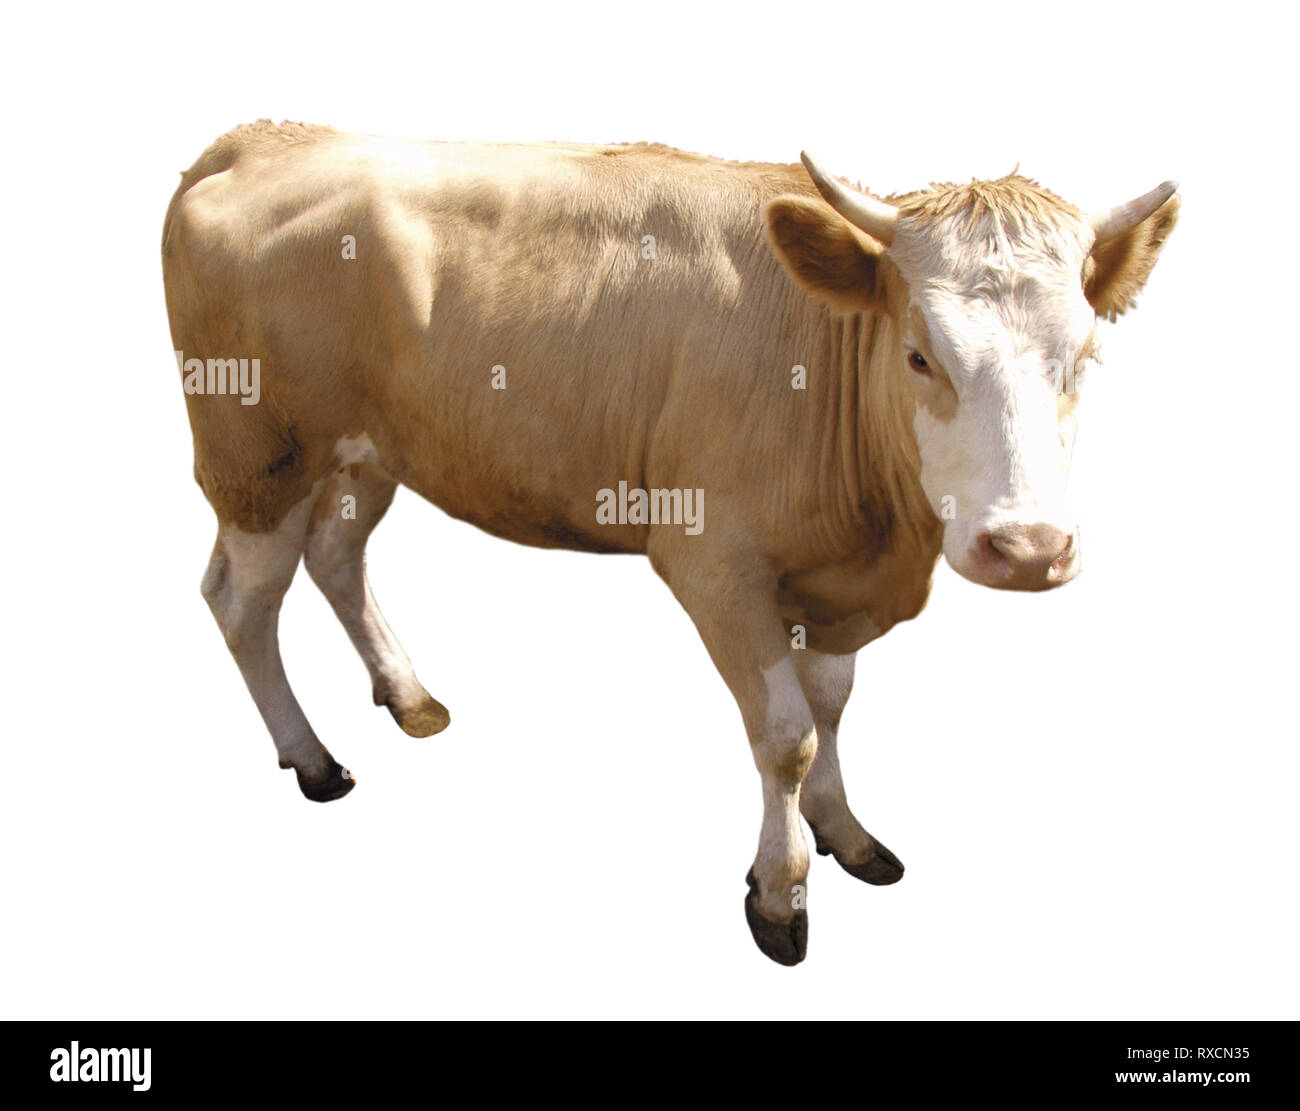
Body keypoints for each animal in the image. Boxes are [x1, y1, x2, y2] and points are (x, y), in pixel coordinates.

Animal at [161, 121, 1178, 965]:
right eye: (920, 355)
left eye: (1083, 357)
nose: (1030, 547)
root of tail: (262, 137)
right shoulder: (713, 561)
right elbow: (786, 735)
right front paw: (779, 892)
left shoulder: (836, 583)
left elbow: (834, 705)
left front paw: (844, 830)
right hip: (257, 451)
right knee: (241, 600)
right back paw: (313, 758)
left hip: (367, 450)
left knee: (337, 560)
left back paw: (407, 696)